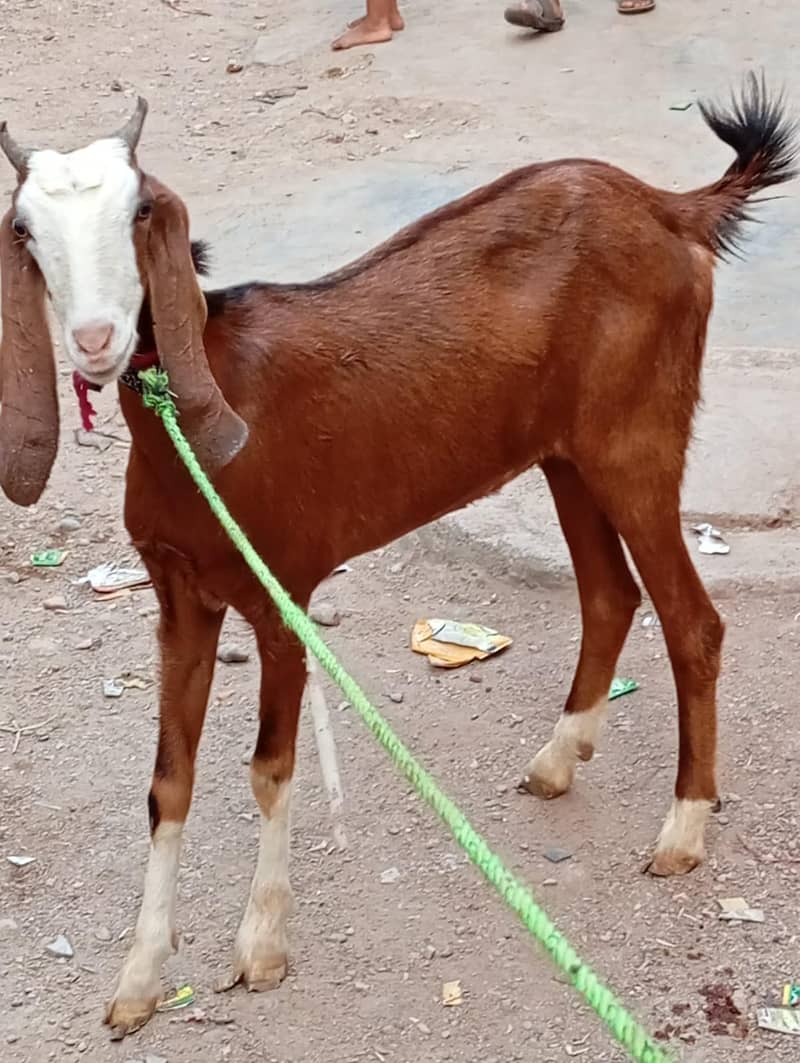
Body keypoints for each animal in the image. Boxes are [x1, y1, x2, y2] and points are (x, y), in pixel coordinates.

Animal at [0, 76, 795, 1038]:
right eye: (26, 230)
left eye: (139, 210)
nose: (95, 339)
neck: (201, 419)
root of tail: (667, 206)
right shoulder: (178, 598)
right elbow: (168, 783)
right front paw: (139, 976)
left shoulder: (281, 594)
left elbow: (269, 769)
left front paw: (261, 946)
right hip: (565, 453)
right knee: (609, 593)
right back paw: (558, 759)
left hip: (636, 439)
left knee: (694, 621)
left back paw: (682, 829)